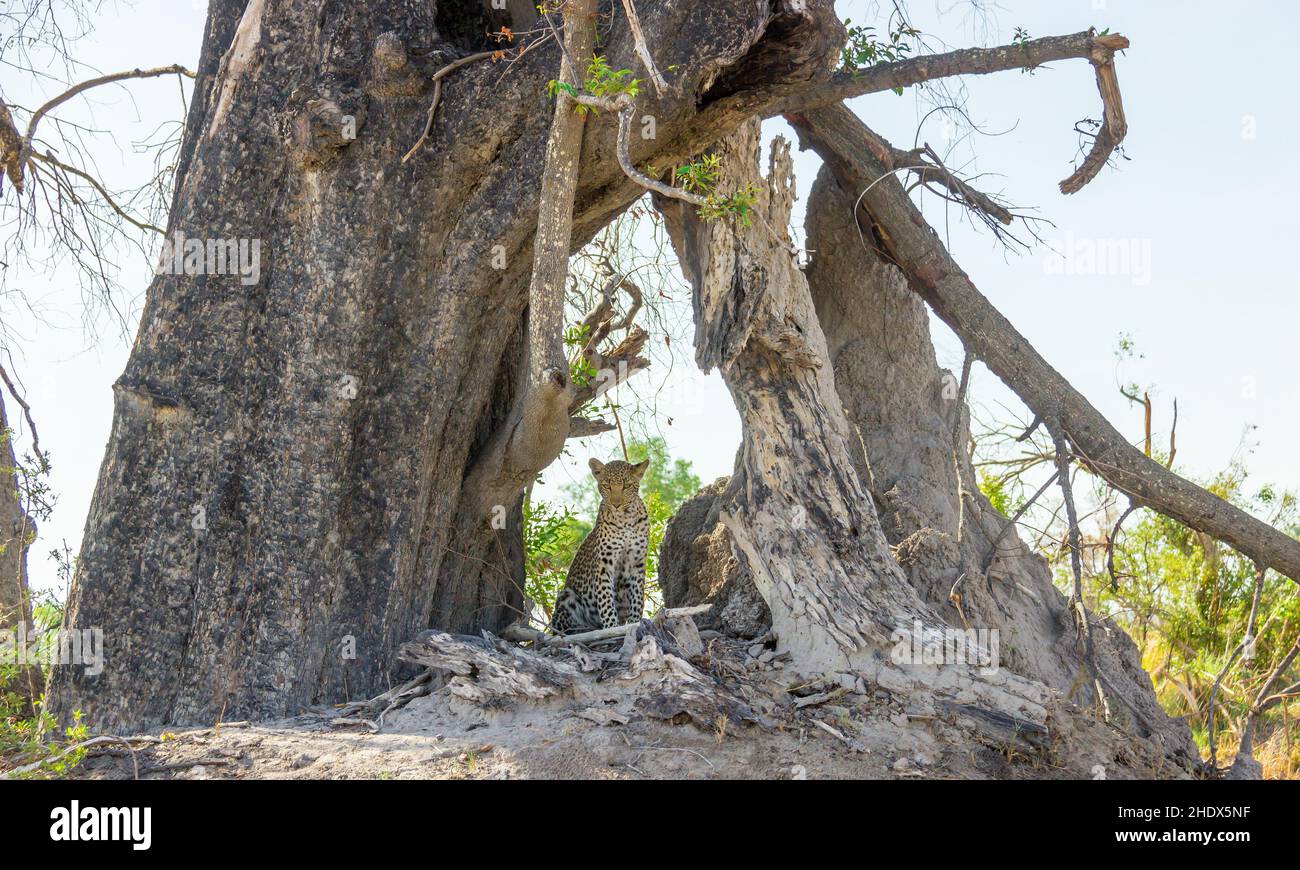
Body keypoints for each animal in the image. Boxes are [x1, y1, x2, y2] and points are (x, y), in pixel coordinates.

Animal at [550, 457, 650, 634]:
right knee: (563, 627)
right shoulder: (604, 564)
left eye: (626, 486)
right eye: (607, 486)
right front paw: (611, 627)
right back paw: (583, 629)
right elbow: (606, 600)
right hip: (567, 595)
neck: (625, 519)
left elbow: (637, 597)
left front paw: (634, 622)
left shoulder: (637, 562)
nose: (616, 504)